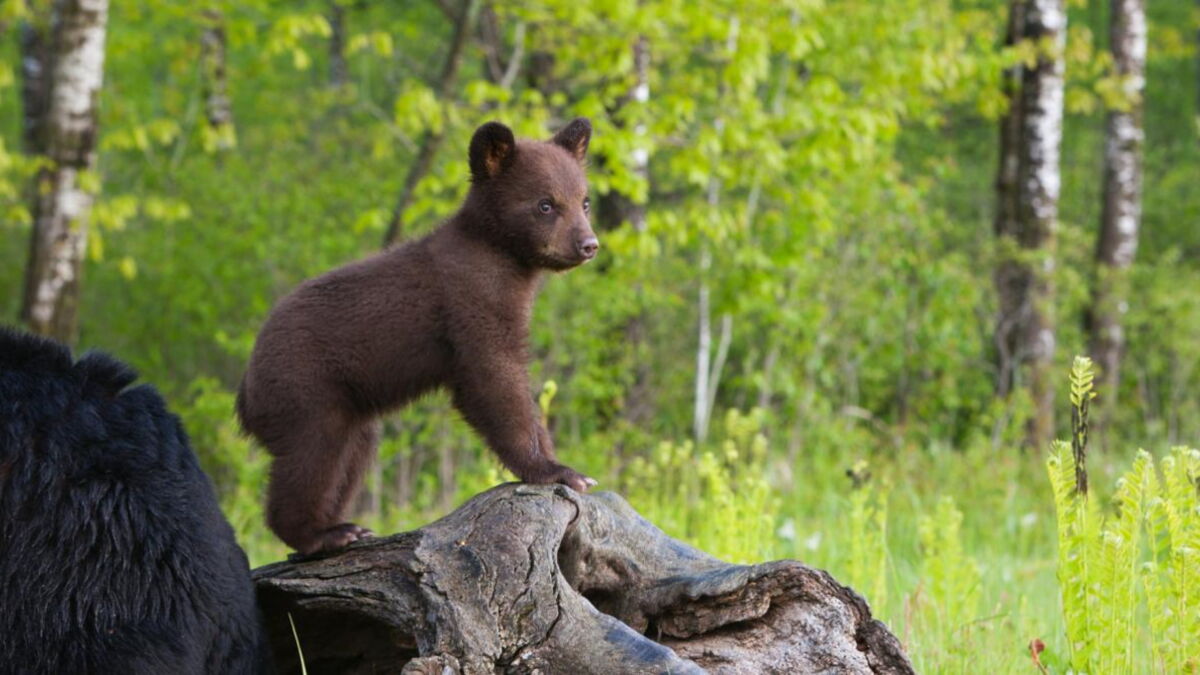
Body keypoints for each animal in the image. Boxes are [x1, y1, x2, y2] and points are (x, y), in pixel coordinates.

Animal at [237, 118, 600, 555]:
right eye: (545, 204)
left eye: (584, 201)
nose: (589, 244)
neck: (504, 260)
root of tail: (245, 395)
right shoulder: (470, 303)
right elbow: (494, 379)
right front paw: (559, 470)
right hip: (306, 390)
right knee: (313, 456)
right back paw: (324, 533)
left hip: (348, 406)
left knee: (353, 453)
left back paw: (346, 525)